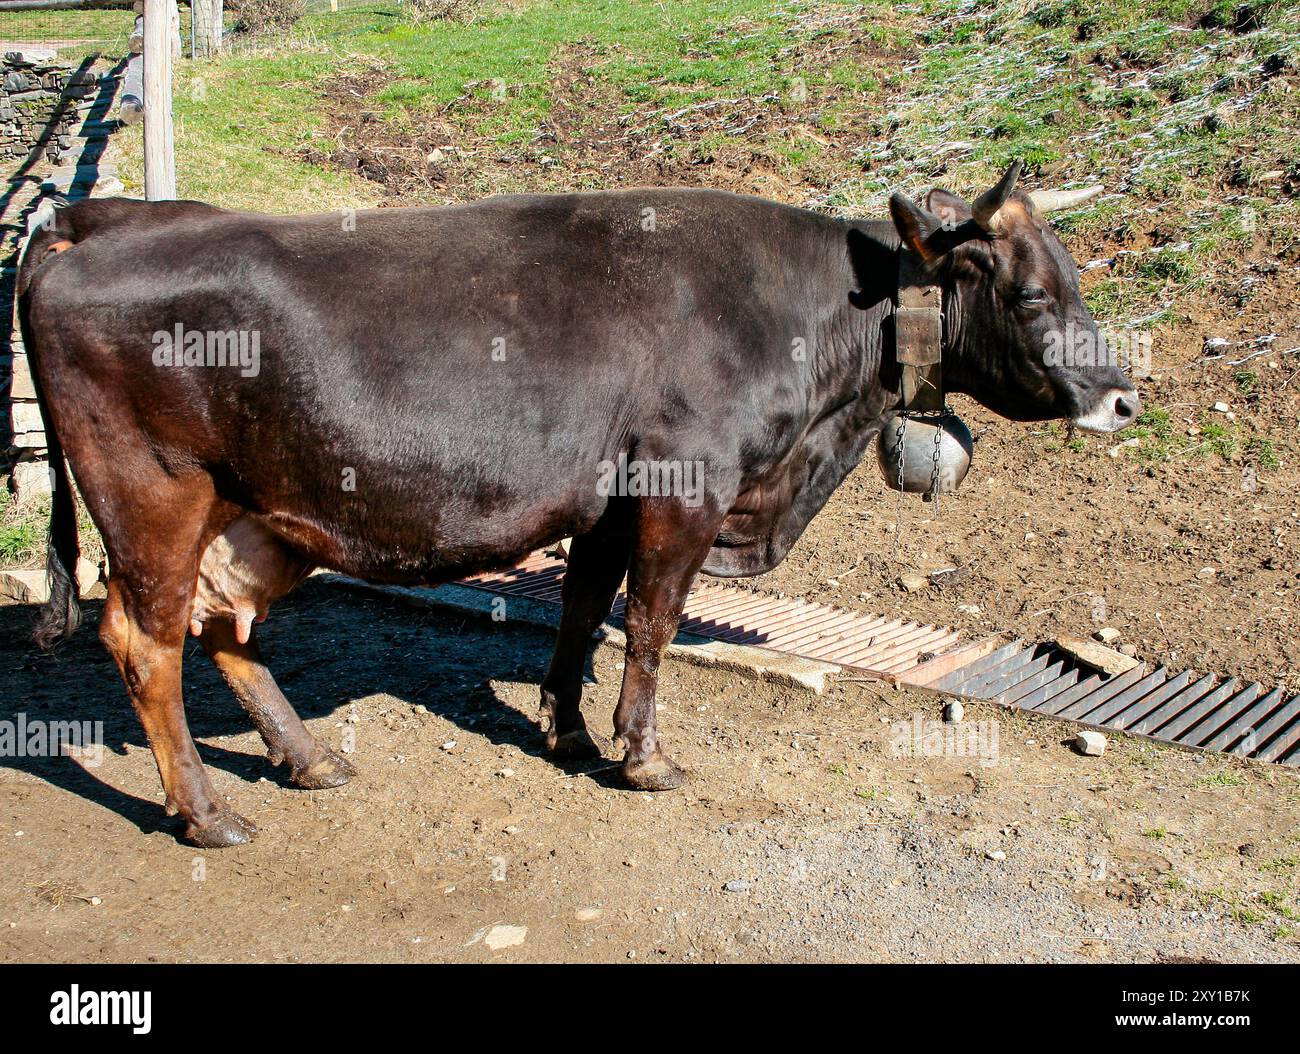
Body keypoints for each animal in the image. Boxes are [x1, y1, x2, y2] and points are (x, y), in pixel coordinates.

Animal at [17, 162, 1138, 846]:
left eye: (1073, 278)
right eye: (1030, 292)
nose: (1124, 395)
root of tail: (96, 221)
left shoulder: (605, 503)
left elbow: (582, 611)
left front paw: (567, 734)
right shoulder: (683, 490)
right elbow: (650, 623)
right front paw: (643, 757)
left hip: (247, 509)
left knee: (220, 625)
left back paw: (308, 759)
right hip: (154, 497)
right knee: (146, 640)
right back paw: (206, 812)